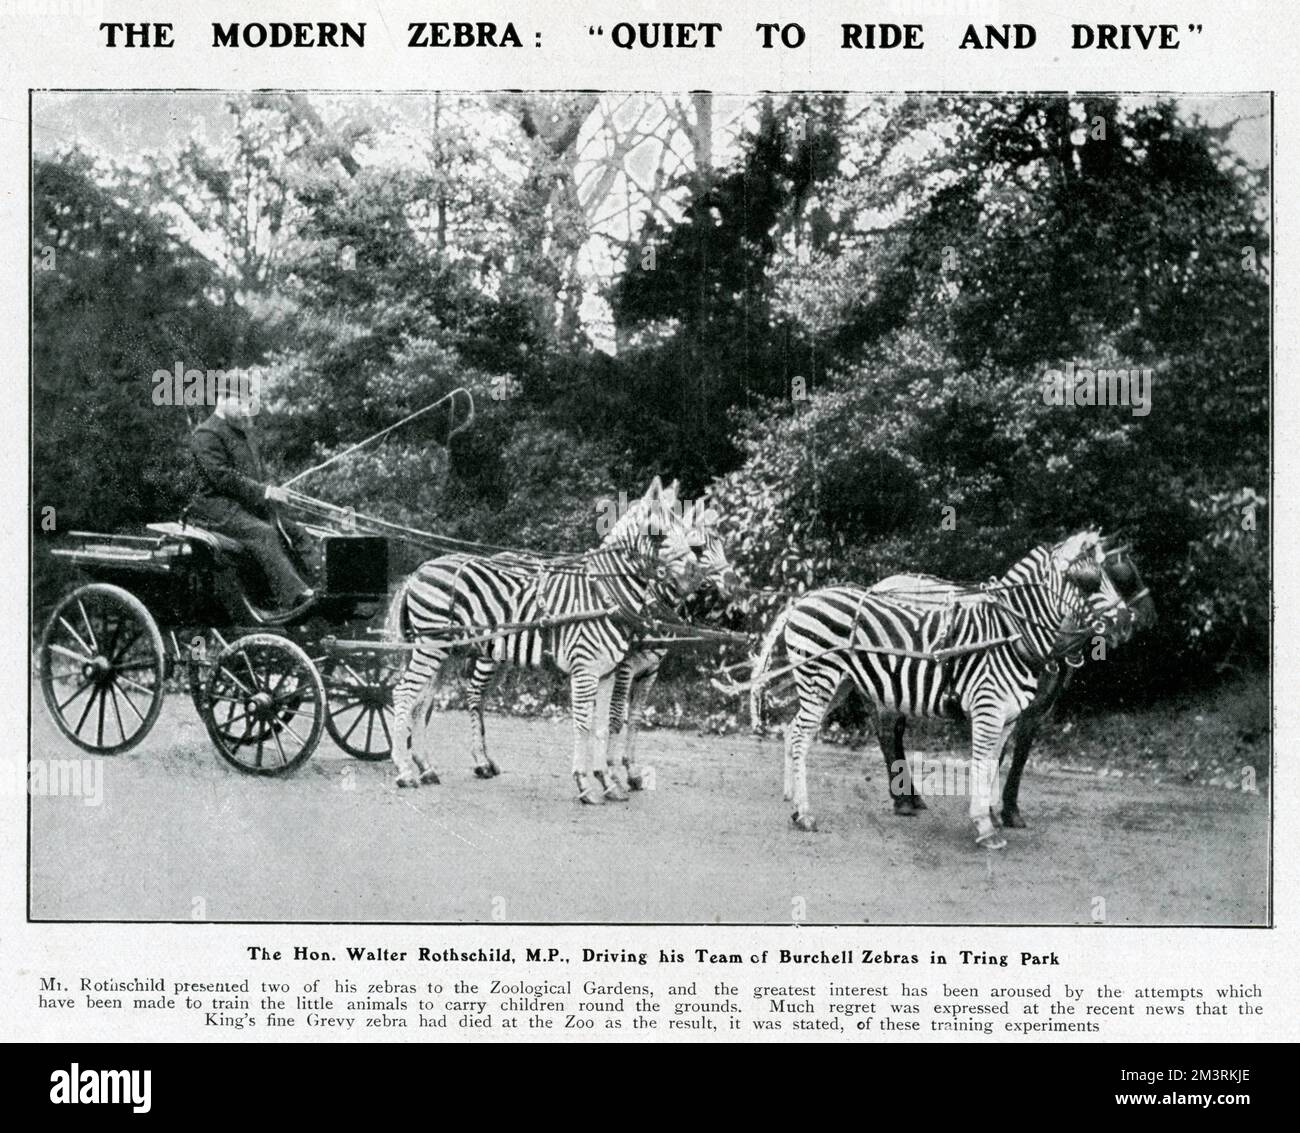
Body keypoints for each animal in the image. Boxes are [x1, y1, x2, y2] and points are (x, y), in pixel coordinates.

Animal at [384, 477, 708, 802]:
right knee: (404, 694)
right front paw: (585, 784)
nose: (695, 575)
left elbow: (604, 725)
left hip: (447, 651)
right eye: (657, 533)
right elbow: (584, 723)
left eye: (686, 534)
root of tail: (418, 571)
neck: (605, 593)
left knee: (423, 701)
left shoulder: (609, 671)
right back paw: (405, 770)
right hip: (432, 646)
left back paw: (427, 768)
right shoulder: (587, 668)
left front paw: (609, 783)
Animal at [745, 531, 1132, 848]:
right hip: (820, 677)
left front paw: (991, 817)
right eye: (1088, 581)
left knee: (794, 731)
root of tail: (802, 599)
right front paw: (985, 826)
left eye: (1114, 576)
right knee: (804, 737)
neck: (1011, 633)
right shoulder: (988, 709)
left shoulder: (1009, 716)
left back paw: (793, 803)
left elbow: (994, 764)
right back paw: (808, 814)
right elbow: (983, 763)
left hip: (837, 684)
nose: (1126, 621)